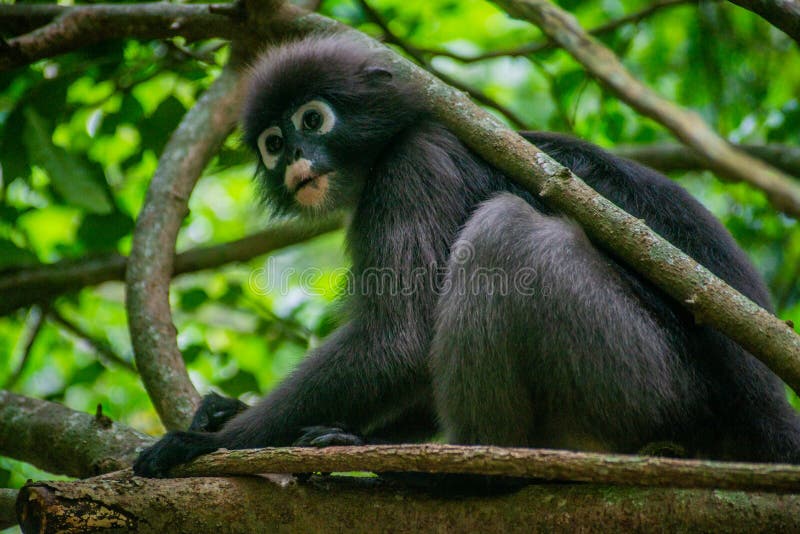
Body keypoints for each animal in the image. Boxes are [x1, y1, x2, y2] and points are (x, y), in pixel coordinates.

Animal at [133, 35, 800, 478]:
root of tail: (768, 416)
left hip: (651, 384)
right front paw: (229, 416)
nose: (294, 157)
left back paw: (466, 470)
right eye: (273, 142)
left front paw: (210, 445)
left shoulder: (417, 162)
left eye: (313, 119)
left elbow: (399, 340)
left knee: (505, 232)